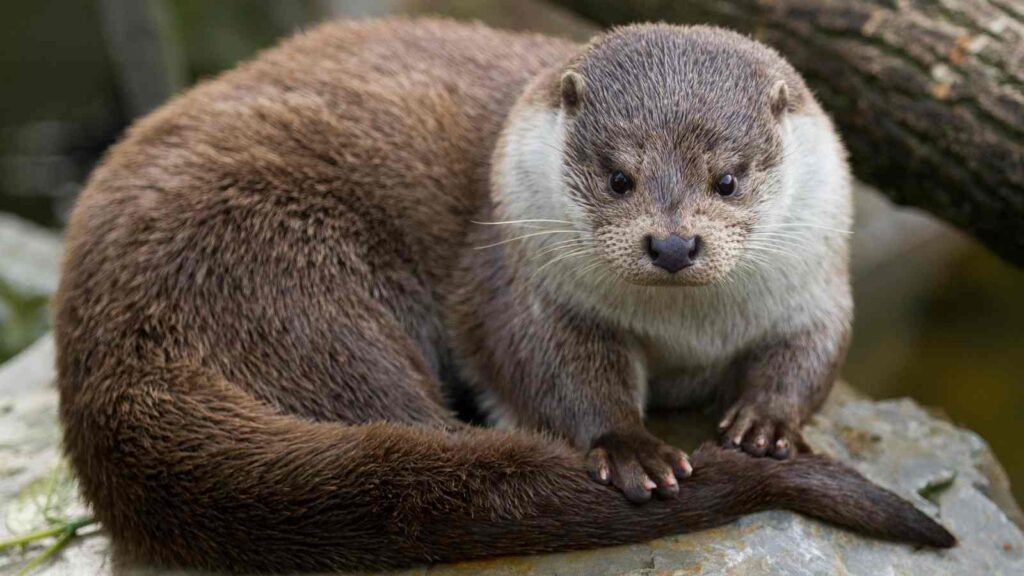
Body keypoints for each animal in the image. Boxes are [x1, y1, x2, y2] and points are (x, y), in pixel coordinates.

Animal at [54, 19, 954, 572]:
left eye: (727, 179)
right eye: (618, 176)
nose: (671, 243)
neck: (688, 334)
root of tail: (103, 345)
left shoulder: (816, 277)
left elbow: (812, 349)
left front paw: (767, 421)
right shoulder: (518, 279)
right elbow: (543, 365)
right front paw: (634, 451)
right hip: (290, 286)